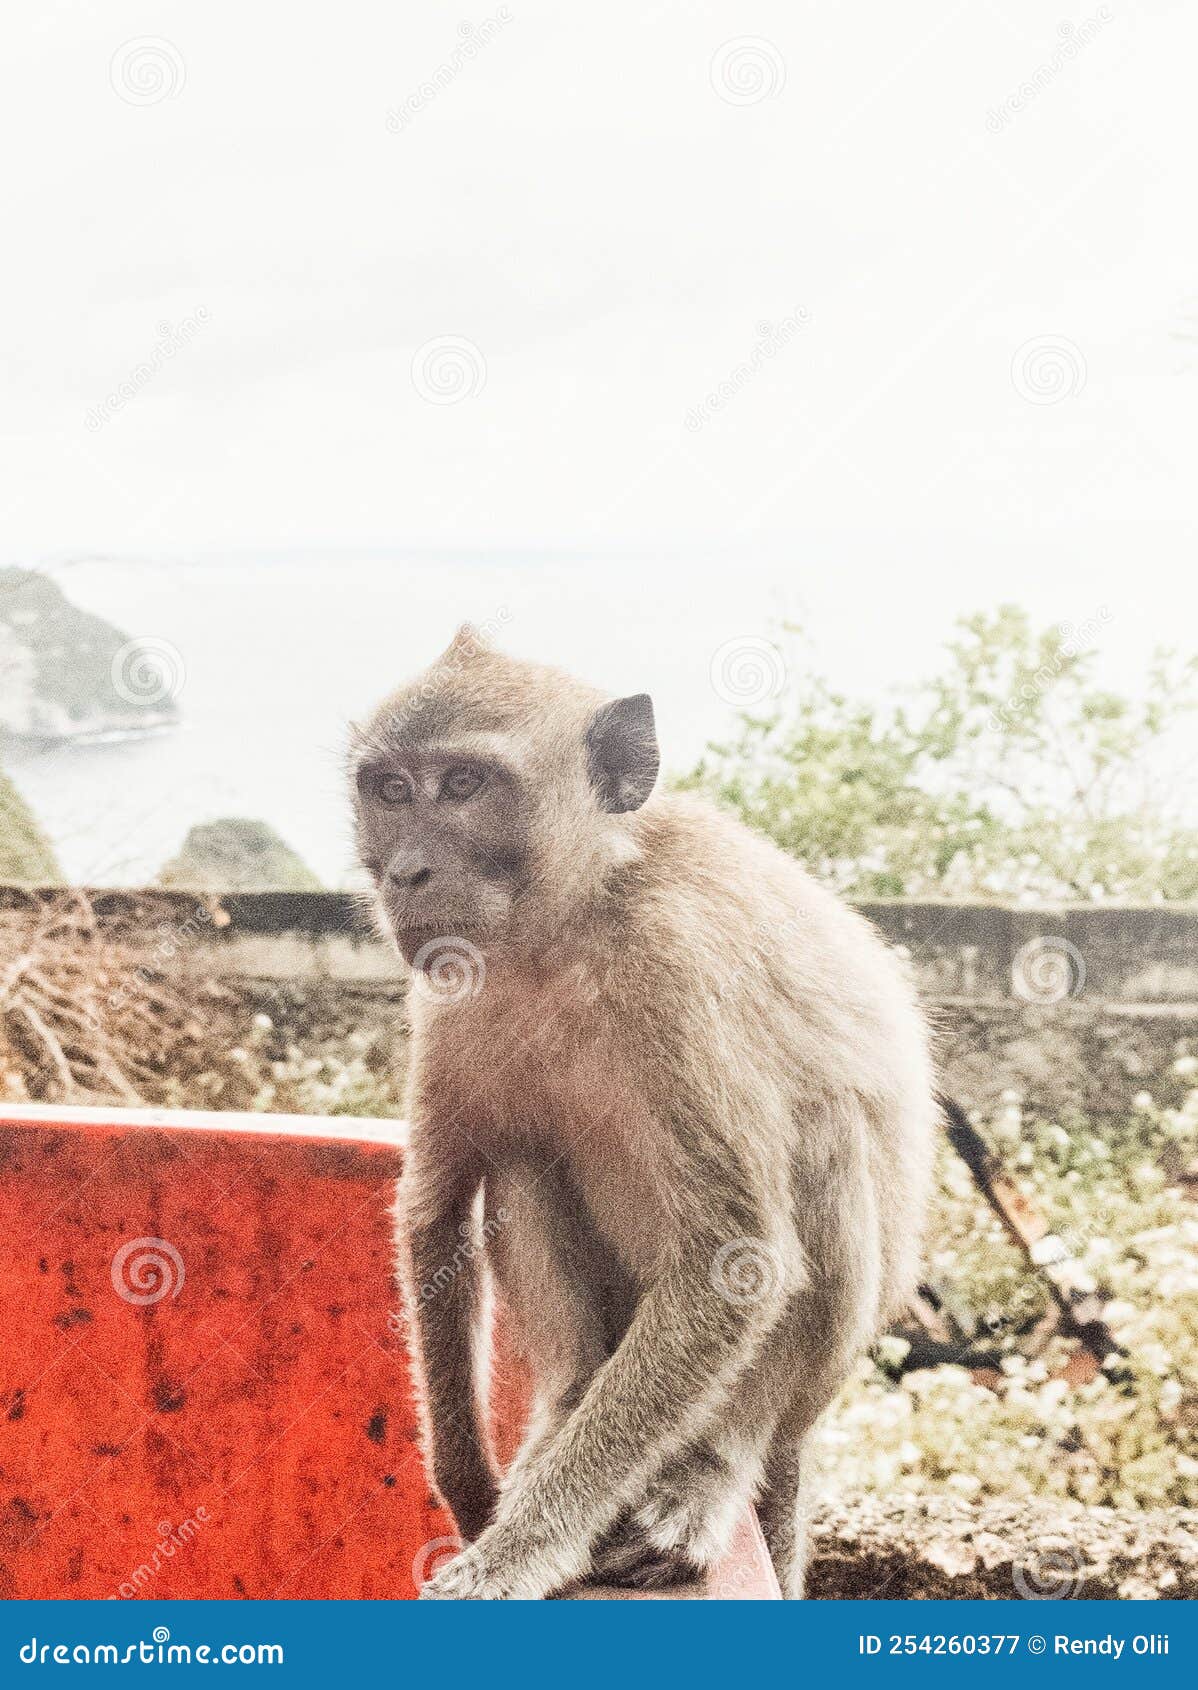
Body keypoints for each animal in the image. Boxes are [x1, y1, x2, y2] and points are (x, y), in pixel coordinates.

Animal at [350, 625, 937, 1600]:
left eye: (464, 784)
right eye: (390, 791)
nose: (406, 872)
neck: (567, 927)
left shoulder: (677, 971)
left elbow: (735, 1260)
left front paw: (520, 1547)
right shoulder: (446, 993)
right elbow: (436, 1208)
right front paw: (471, 1493)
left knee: (826, 1139)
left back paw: (714, 1465)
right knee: (524, 1151)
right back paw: (569, 1401)